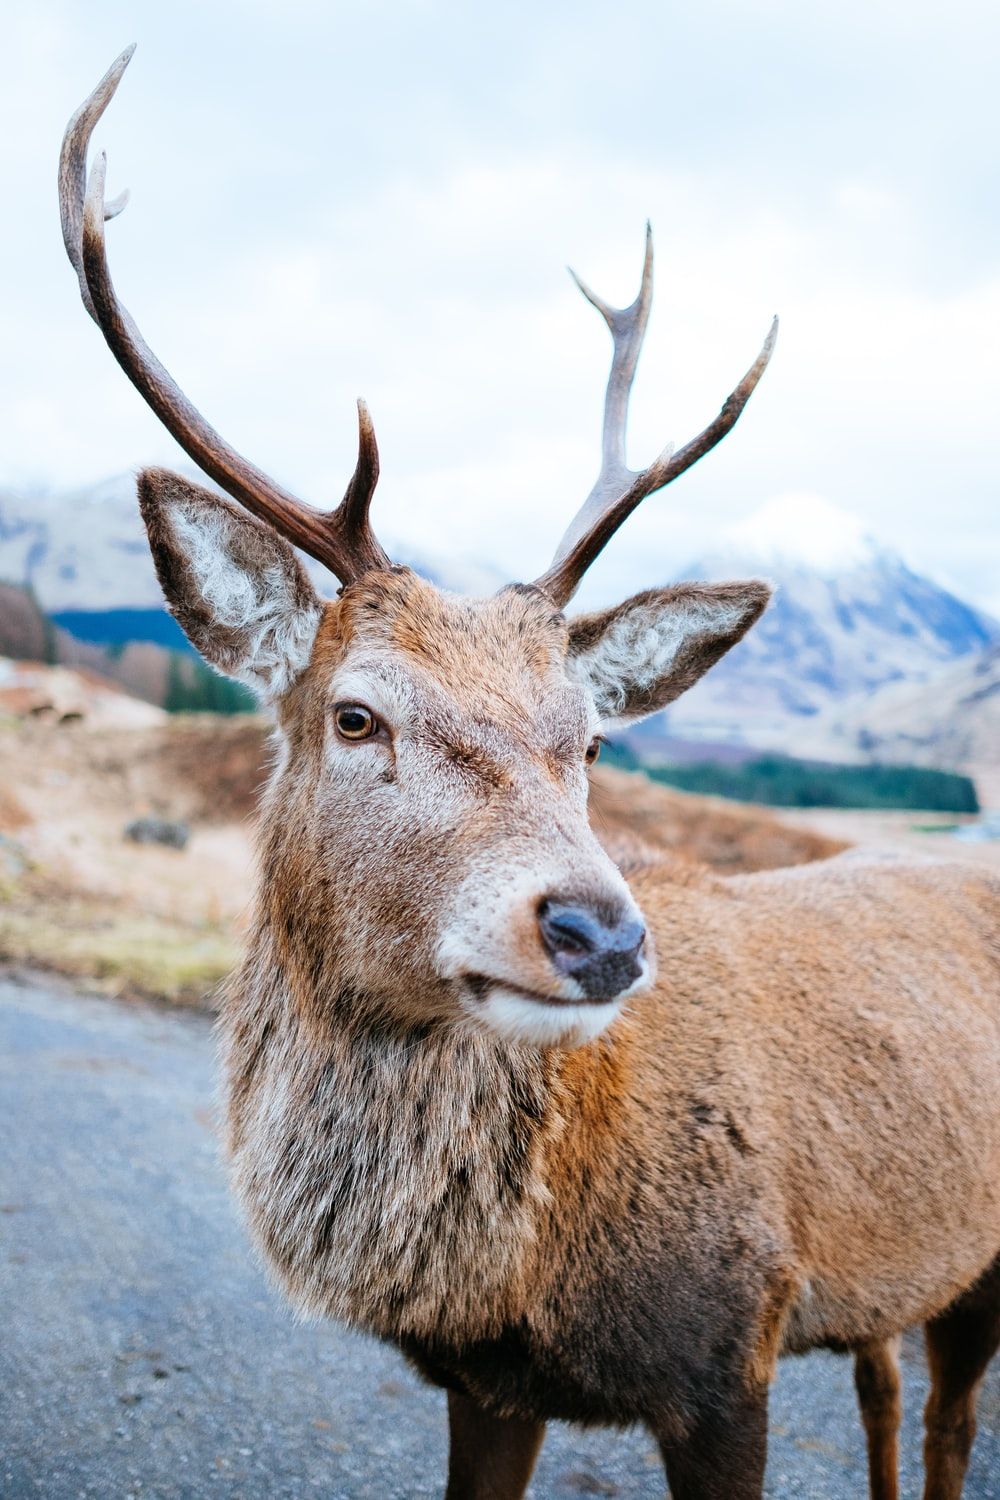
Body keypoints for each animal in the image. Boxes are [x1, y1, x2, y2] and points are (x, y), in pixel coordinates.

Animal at [60, 47, 1000, 1500]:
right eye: (355, 716)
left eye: (591, 737)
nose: (600, 934)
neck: (520, 1283)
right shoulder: (486, 1386)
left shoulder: (732, 1343)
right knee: (892, 1388)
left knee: (951, 1420)